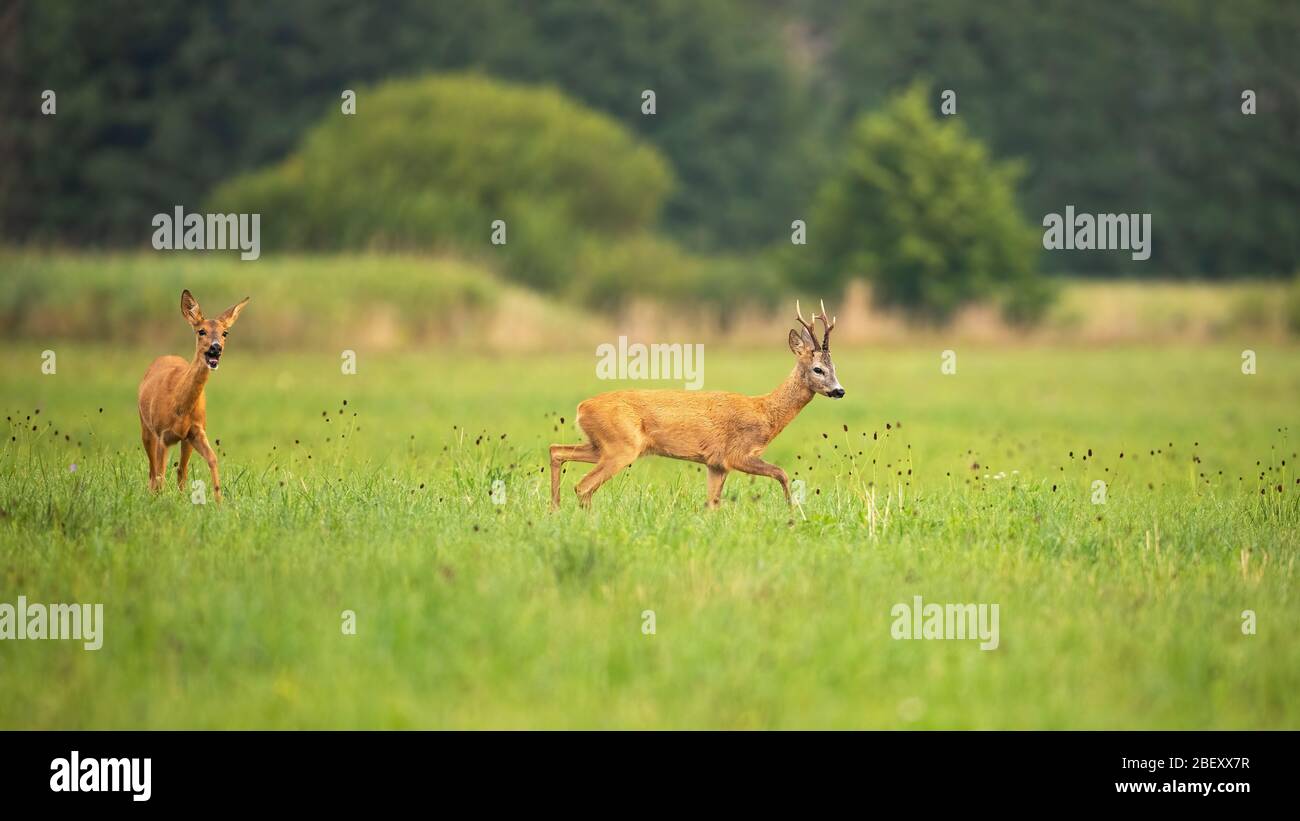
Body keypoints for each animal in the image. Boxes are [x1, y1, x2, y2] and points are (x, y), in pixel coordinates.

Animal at [137, 289, 249, 502]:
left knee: (179, 470)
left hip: (183, 440)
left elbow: (211, 460)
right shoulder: (162, 434)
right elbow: (160, 473)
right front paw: (160, 502)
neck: (179, 406)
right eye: (201, 331)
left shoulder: (195, 431)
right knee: (153, 470)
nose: (216, 348)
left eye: (225, 333)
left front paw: (218, 502)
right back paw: (152, 495)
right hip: (146, 427)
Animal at [550, 300, 844, 510]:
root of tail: (581, 408)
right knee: (583, 486)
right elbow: (781, 473)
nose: (839, 390)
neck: (765, 412)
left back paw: (554, 509)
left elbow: (712, 503)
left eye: (835, 368)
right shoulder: (736, 454)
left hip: (601, 445)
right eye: (818, 369)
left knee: (557, 451)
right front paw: (792, 511)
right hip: (621, 446)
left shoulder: (716, 464)